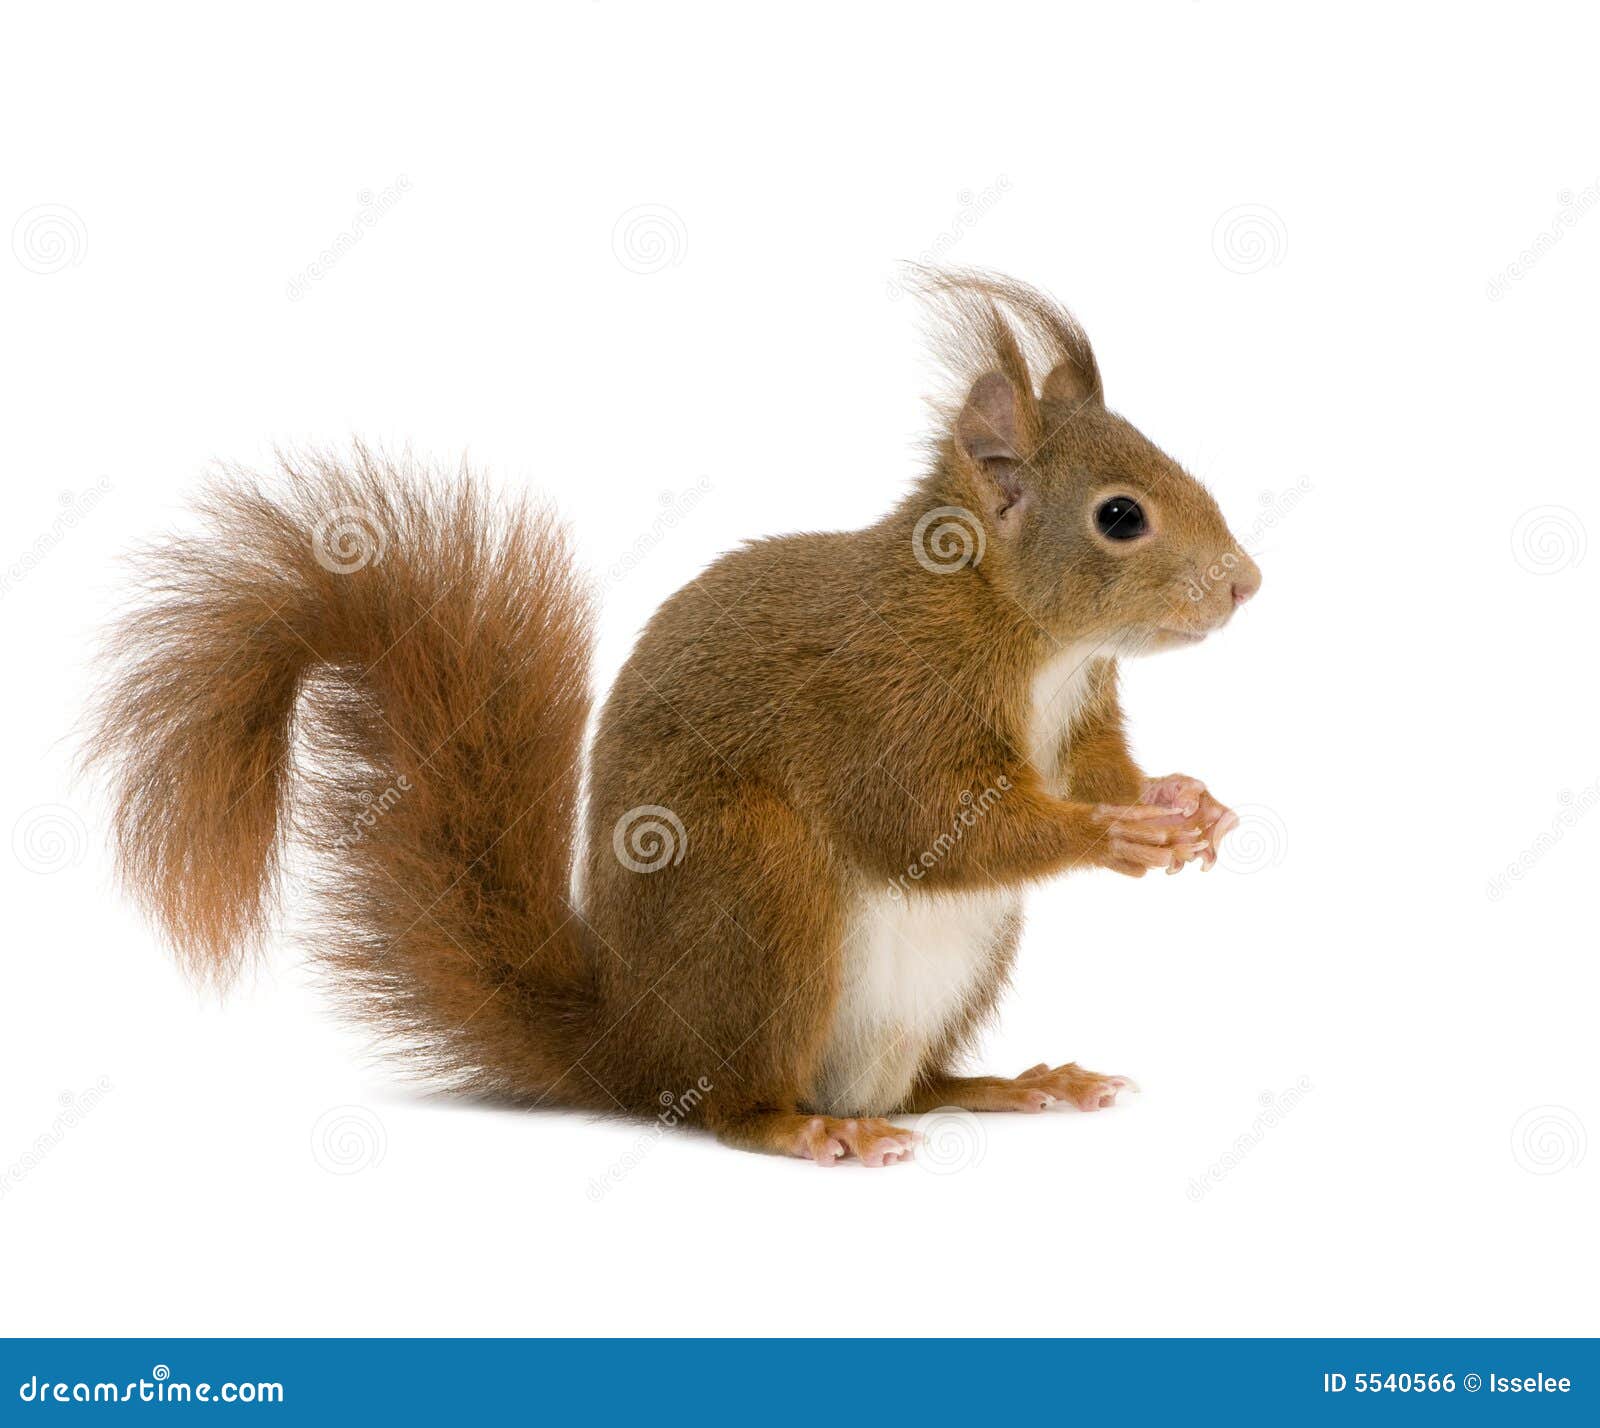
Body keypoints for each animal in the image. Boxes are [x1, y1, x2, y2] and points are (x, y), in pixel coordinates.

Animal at [85, 269, 1261, 1167]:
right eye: (1120, 516)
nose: (1247, 584)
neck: (1033, 642)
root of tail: (633, 1052)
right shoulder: (889, 699)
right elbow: (929, 823)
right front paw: (1114, 835)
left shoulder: (1079, 718)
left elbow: (1096, 770)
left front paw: (1182, 801)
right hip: (759, 894)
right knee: (737, 1103)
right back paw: (808, 1131)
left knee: (912, 1089)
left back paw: (1008, 1085)